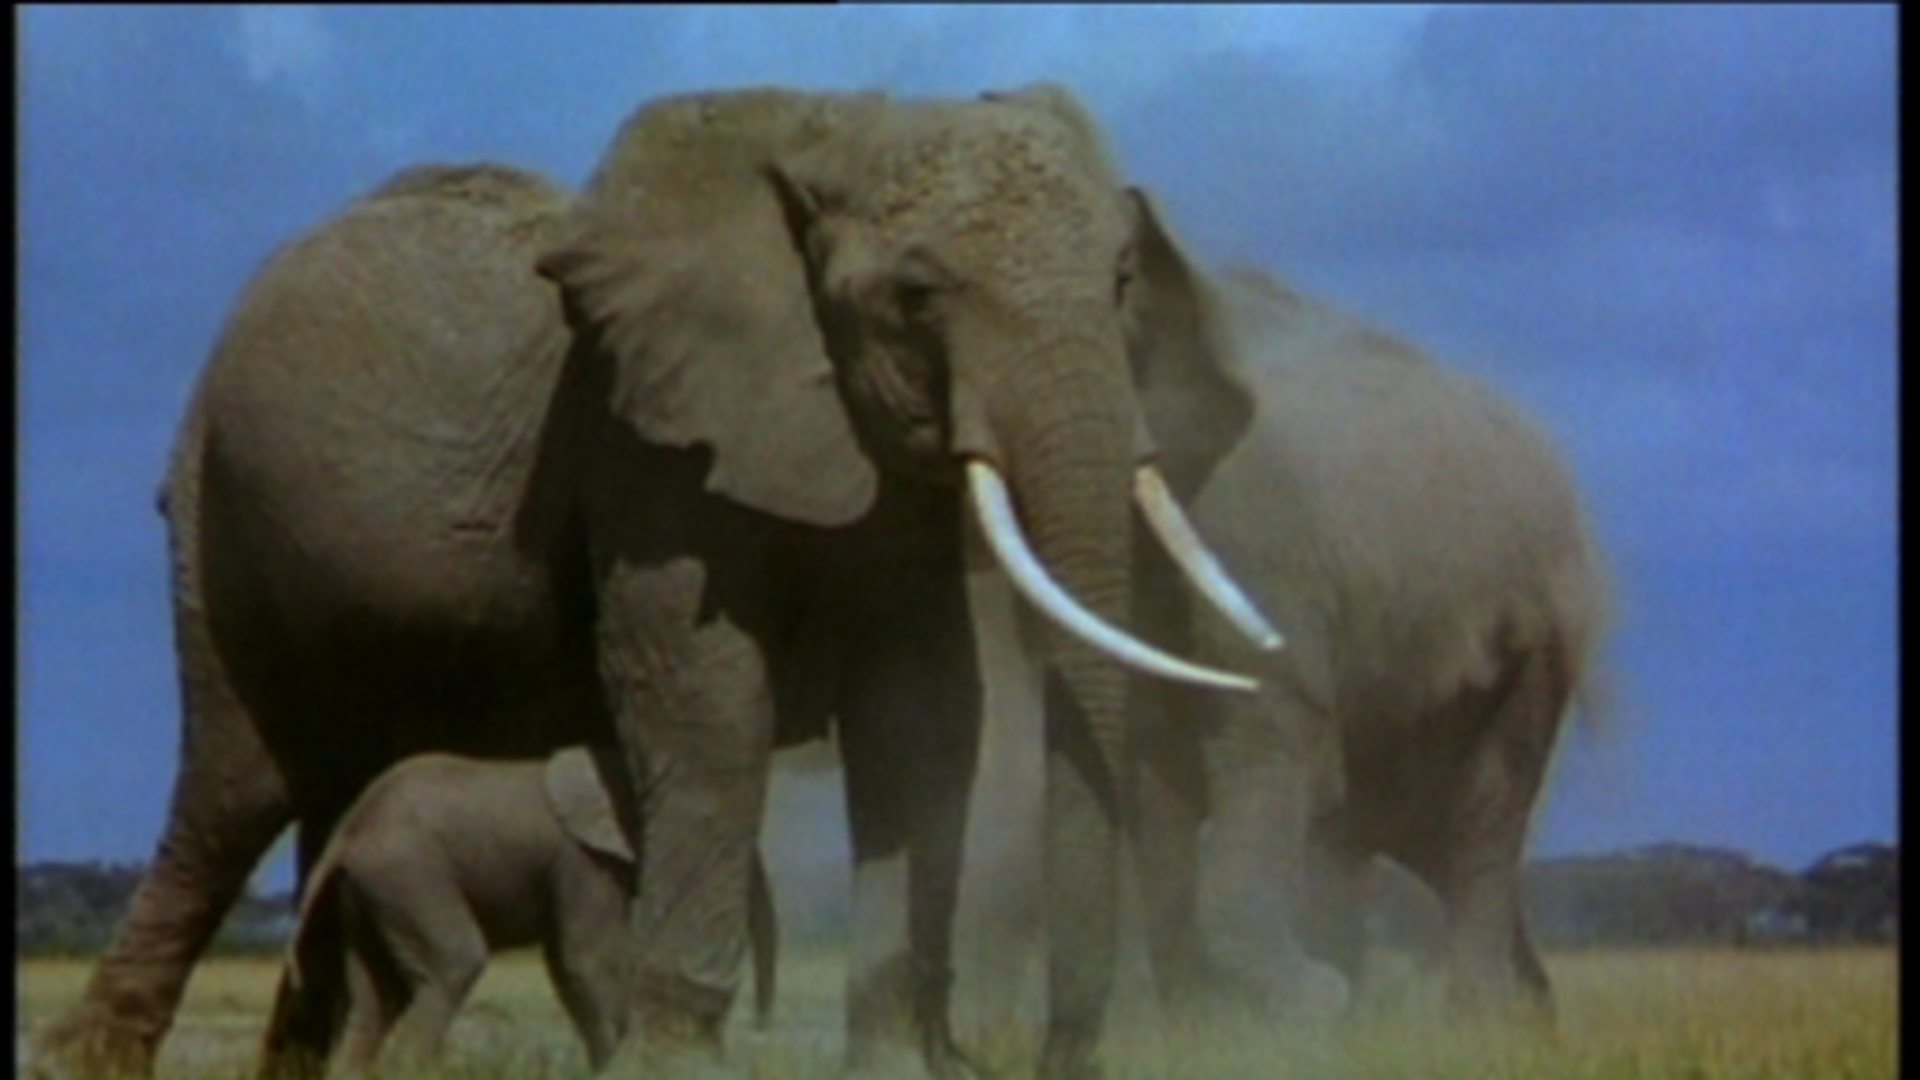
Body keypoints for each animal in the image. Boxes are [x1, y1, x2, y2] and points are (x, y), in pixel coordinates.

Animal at [258, 748, 778, 1077]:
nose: (759, 1023)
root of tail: (349, 829)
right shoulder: (582, 860)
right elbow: (585, 958)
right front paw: (624, 1063)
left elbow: (567, 967)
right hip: (409, 875)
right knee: (453, 965)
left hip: (367, 892)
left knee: (375, 998)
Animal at [1122, 265, 1609, 1026]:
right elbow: (1156, 764)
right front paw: (1209, 1029)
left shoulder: (1257, 547)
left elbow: (1265, 736)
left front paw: (1307, 1006)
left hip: (1534, 650)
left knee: (1476, 823)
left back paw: (1480, 1026)